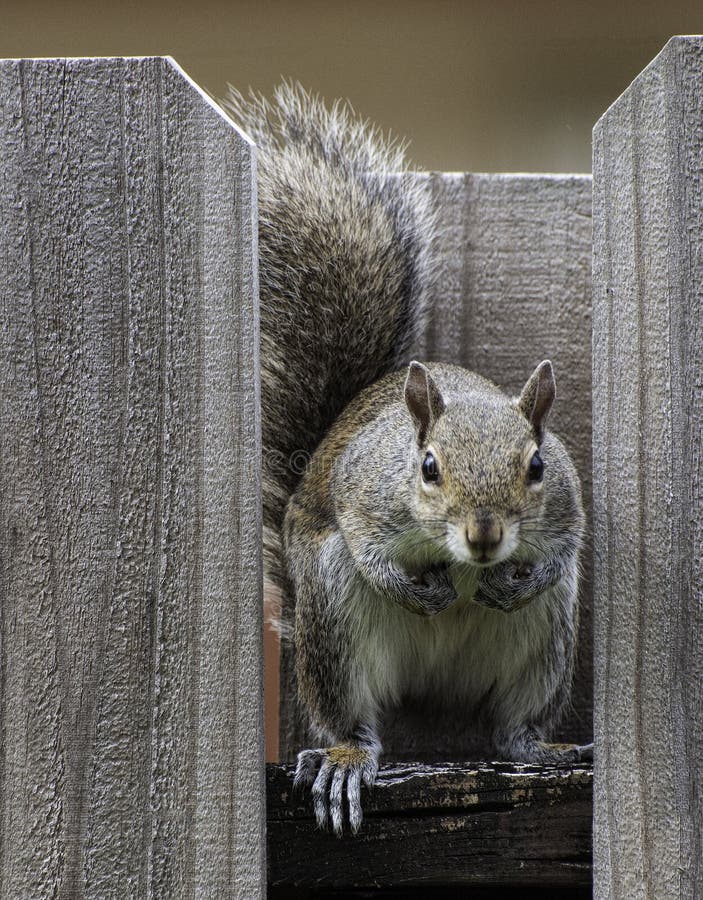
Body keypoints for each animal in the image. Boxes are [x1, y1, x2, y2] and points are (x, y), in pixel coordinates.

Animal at [223, 83, 591, 837]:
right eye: (426, 467)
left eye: (536, 467)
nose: (485, 538)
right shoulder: (363, 495)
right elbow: (370, 551)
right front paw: (413, 588)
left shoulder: (566, 508)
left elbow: (565, 548)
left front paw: (517, 580)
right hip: (330, 616)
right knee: (353, 719)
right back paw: (344, 759)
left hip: (545, 644)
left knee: (511, 725)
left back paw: (539, 749)